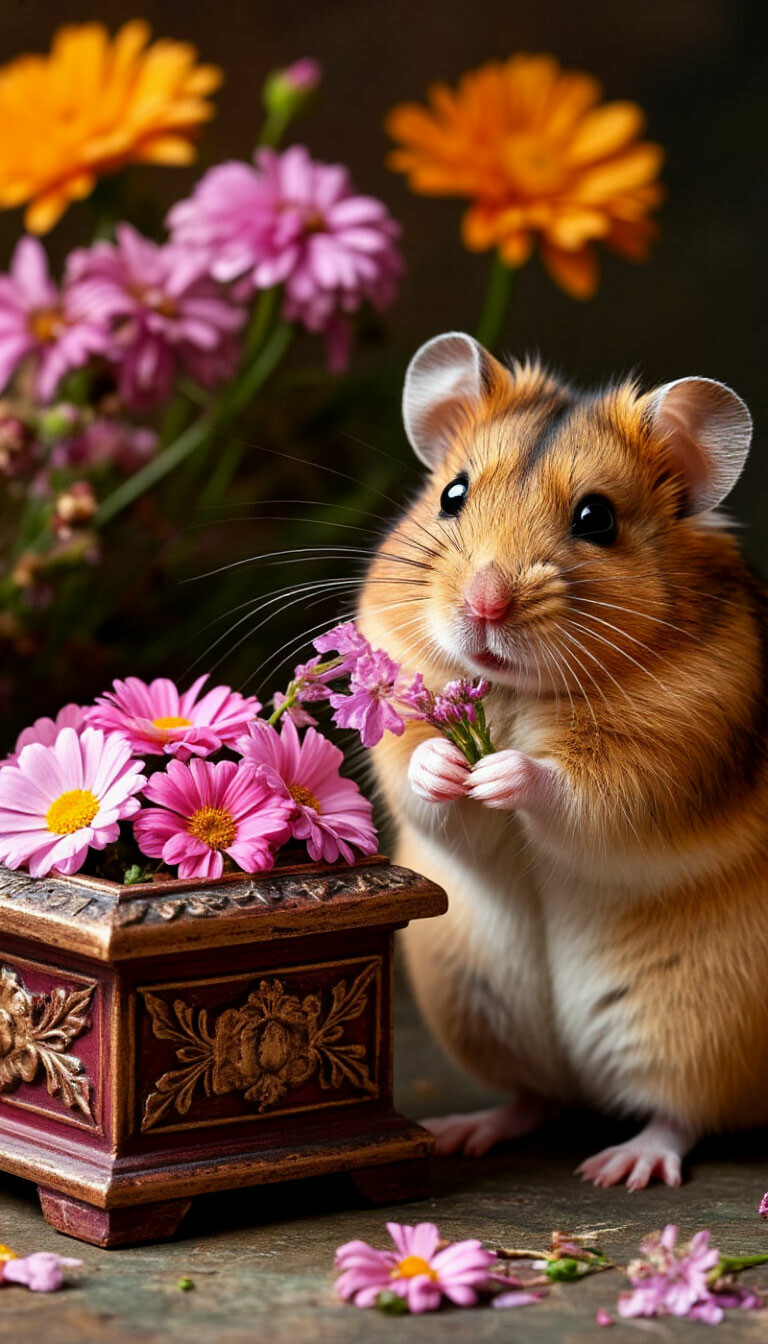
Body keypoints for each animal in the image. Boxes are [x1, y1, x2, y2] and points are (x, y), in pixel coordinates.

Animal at [358, 331, 767, 1189]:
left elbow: (579, 790)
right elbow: (417, 776)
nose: (483, 603)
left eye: (596, 517)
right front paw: (451, 769)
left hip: (697, 1026)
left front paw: (499, 773)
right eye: (452, 495)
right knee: (535, 1099)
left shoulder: (672, 756)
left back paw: (621, 1167)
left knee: (681, 1116)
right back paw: (463, 1132)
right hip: (475, 1003)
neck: (519, 693)